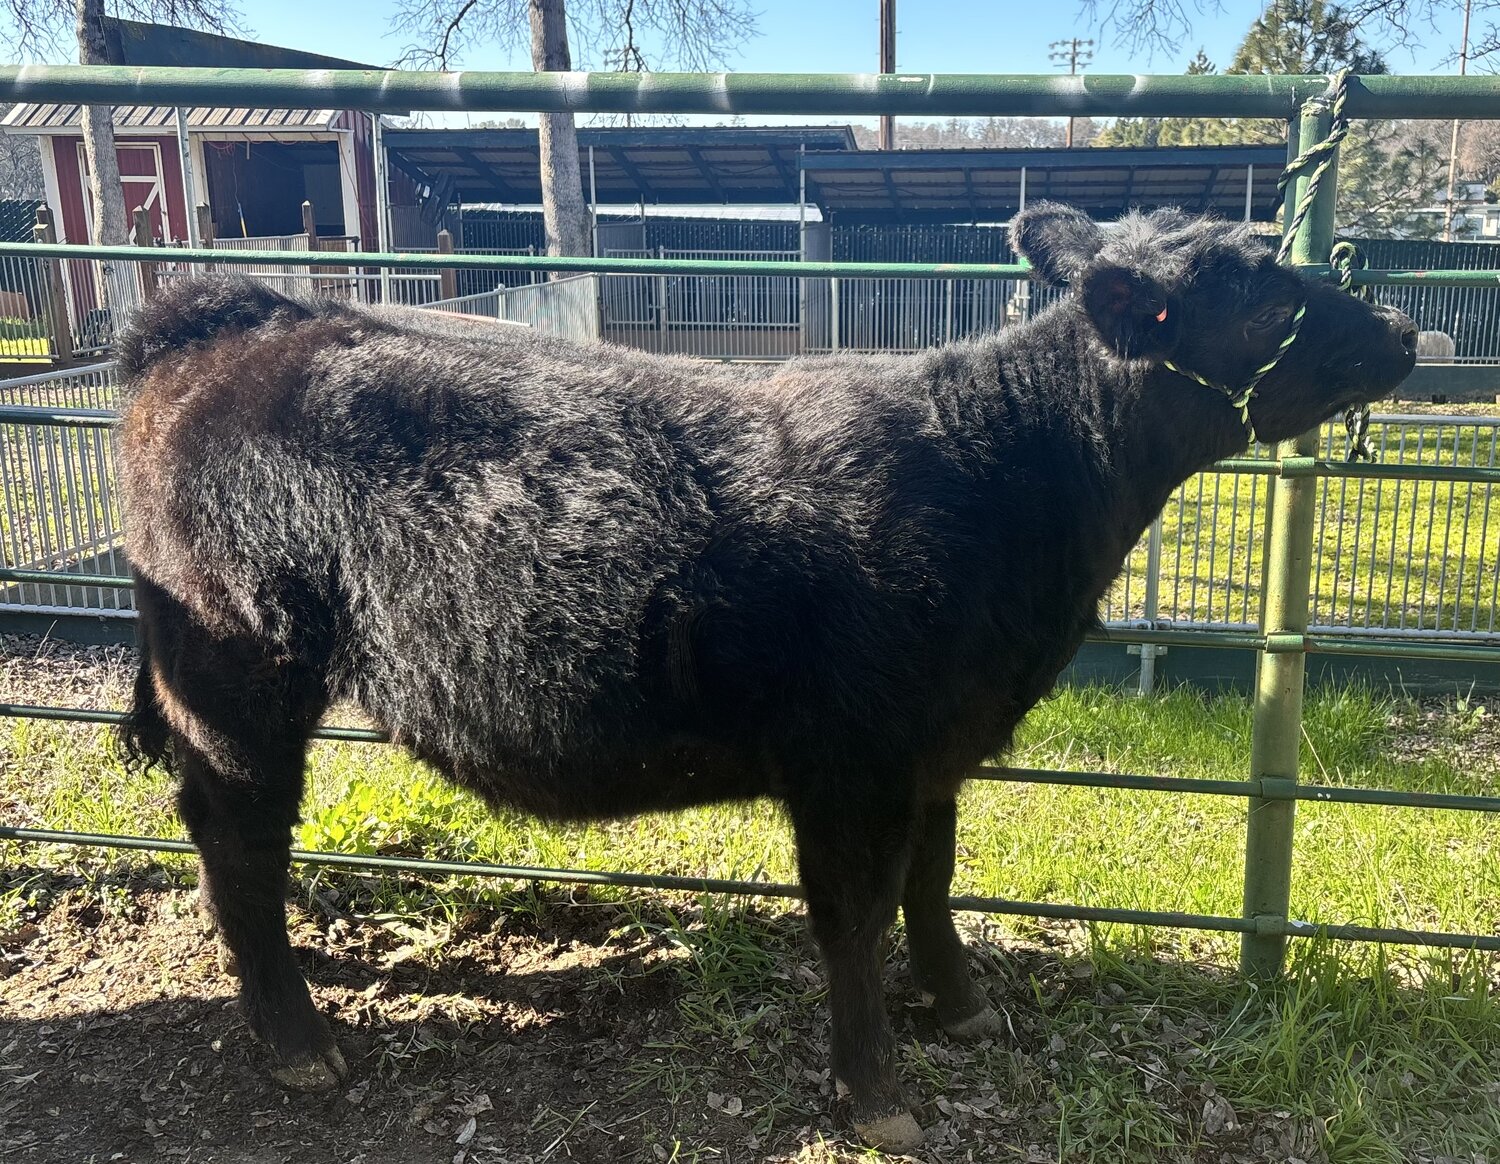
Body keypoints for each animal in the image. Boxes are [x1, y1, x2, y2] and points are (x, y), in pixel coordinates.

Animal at [115, 203, 1417, 1153]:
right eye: (1272, 294)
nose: (1405, 331)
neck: (1007, 473)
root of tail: (234, 316)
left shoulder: (939, 746)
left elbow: (933, 881)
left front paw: (963, 1005)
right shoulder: (855, 758)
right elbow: (854, 913)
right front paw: (878, 1092)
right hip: (236, 671)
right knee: (239, 834)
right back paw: (299, 1039)